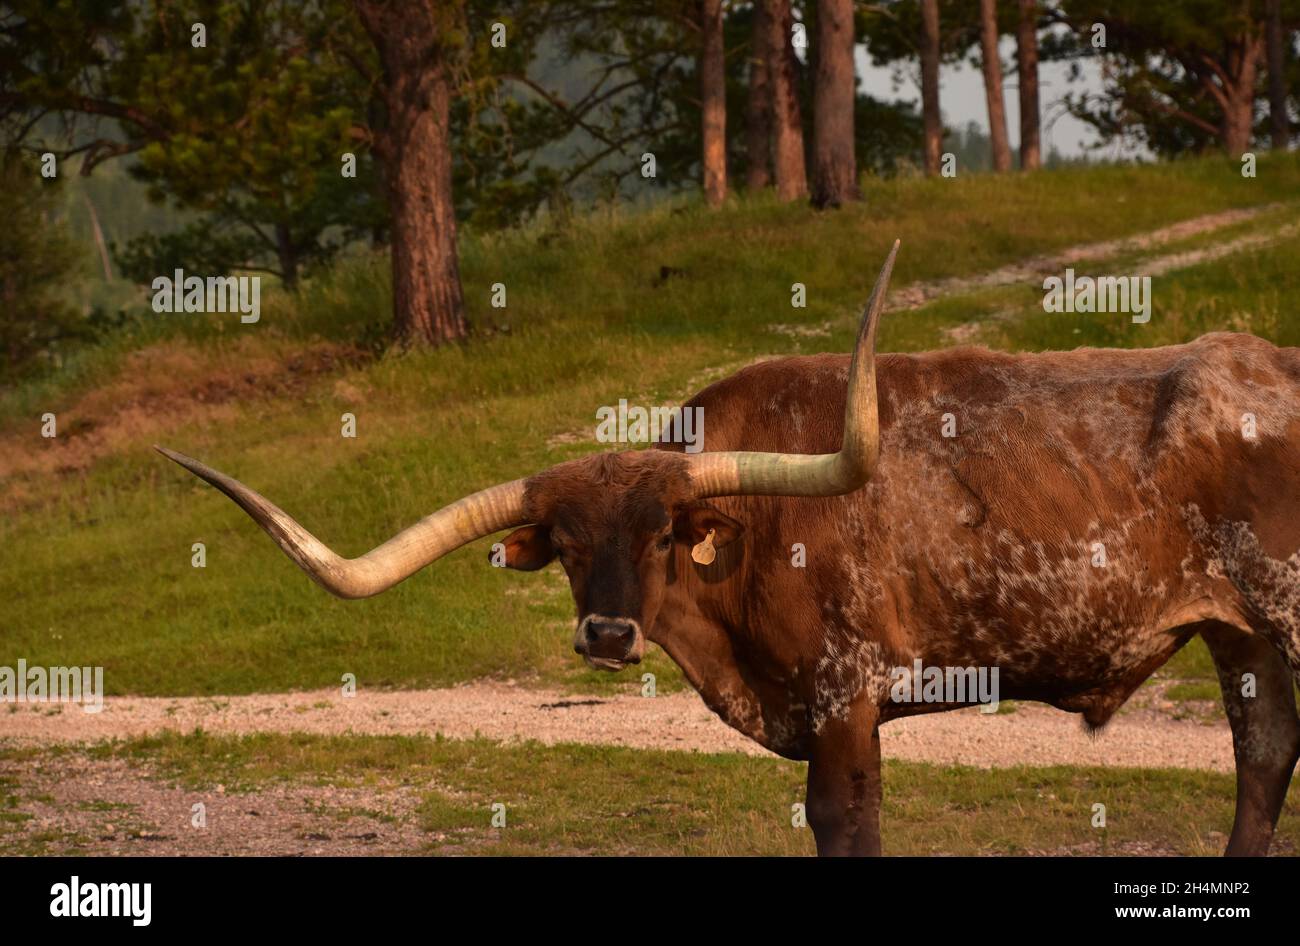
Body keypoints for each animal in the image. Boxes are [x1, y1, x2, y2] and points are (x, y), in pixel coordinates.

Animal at [159, 242, 1300, 856]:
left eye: (665, 532)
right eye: (564, 543)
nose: (607, 633)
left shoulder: (845, 697)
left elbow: (845, 821)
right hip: (1242, 633)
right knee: (1263, 756)